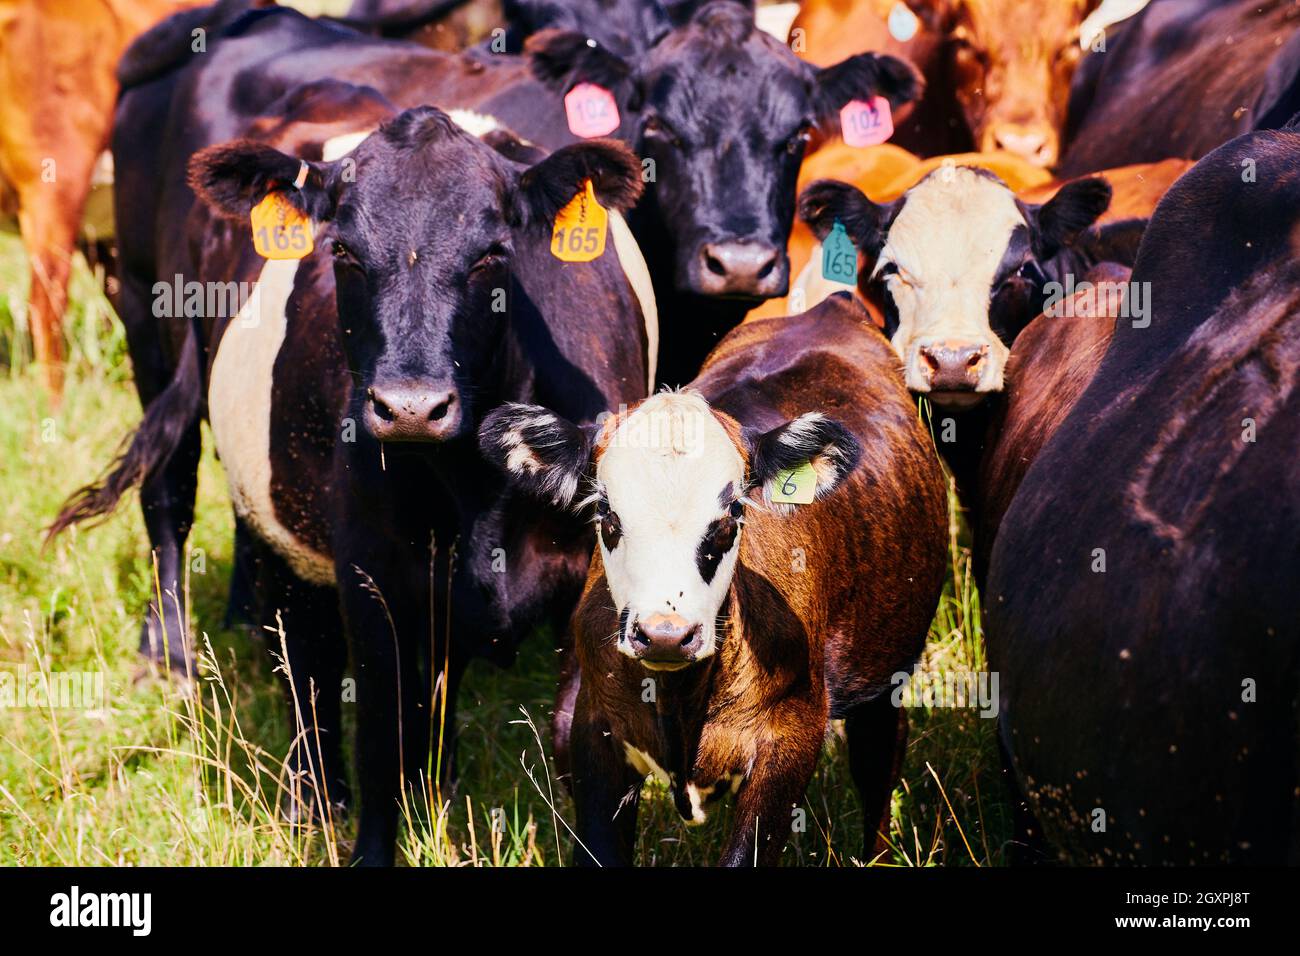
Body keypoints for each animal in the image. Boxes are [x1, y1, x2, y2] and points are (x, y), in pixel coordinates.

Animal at [51, 63, 657, 865]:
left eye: (493, 253)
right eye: (341, 253)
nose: (411, 407)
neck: (478, 487)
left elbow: (586, 742)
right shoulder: (372, 575)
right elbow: (377, 730)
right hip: (159, 344)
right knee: (240, 582)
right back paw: (238, 725)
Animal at [479, 293, 949, 866]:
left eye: (731, 516)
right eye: (606, 514)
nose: (665, 633)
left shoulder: (790, 738)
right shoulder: (592, 731)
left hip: (889, 666)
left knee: (878, 762)